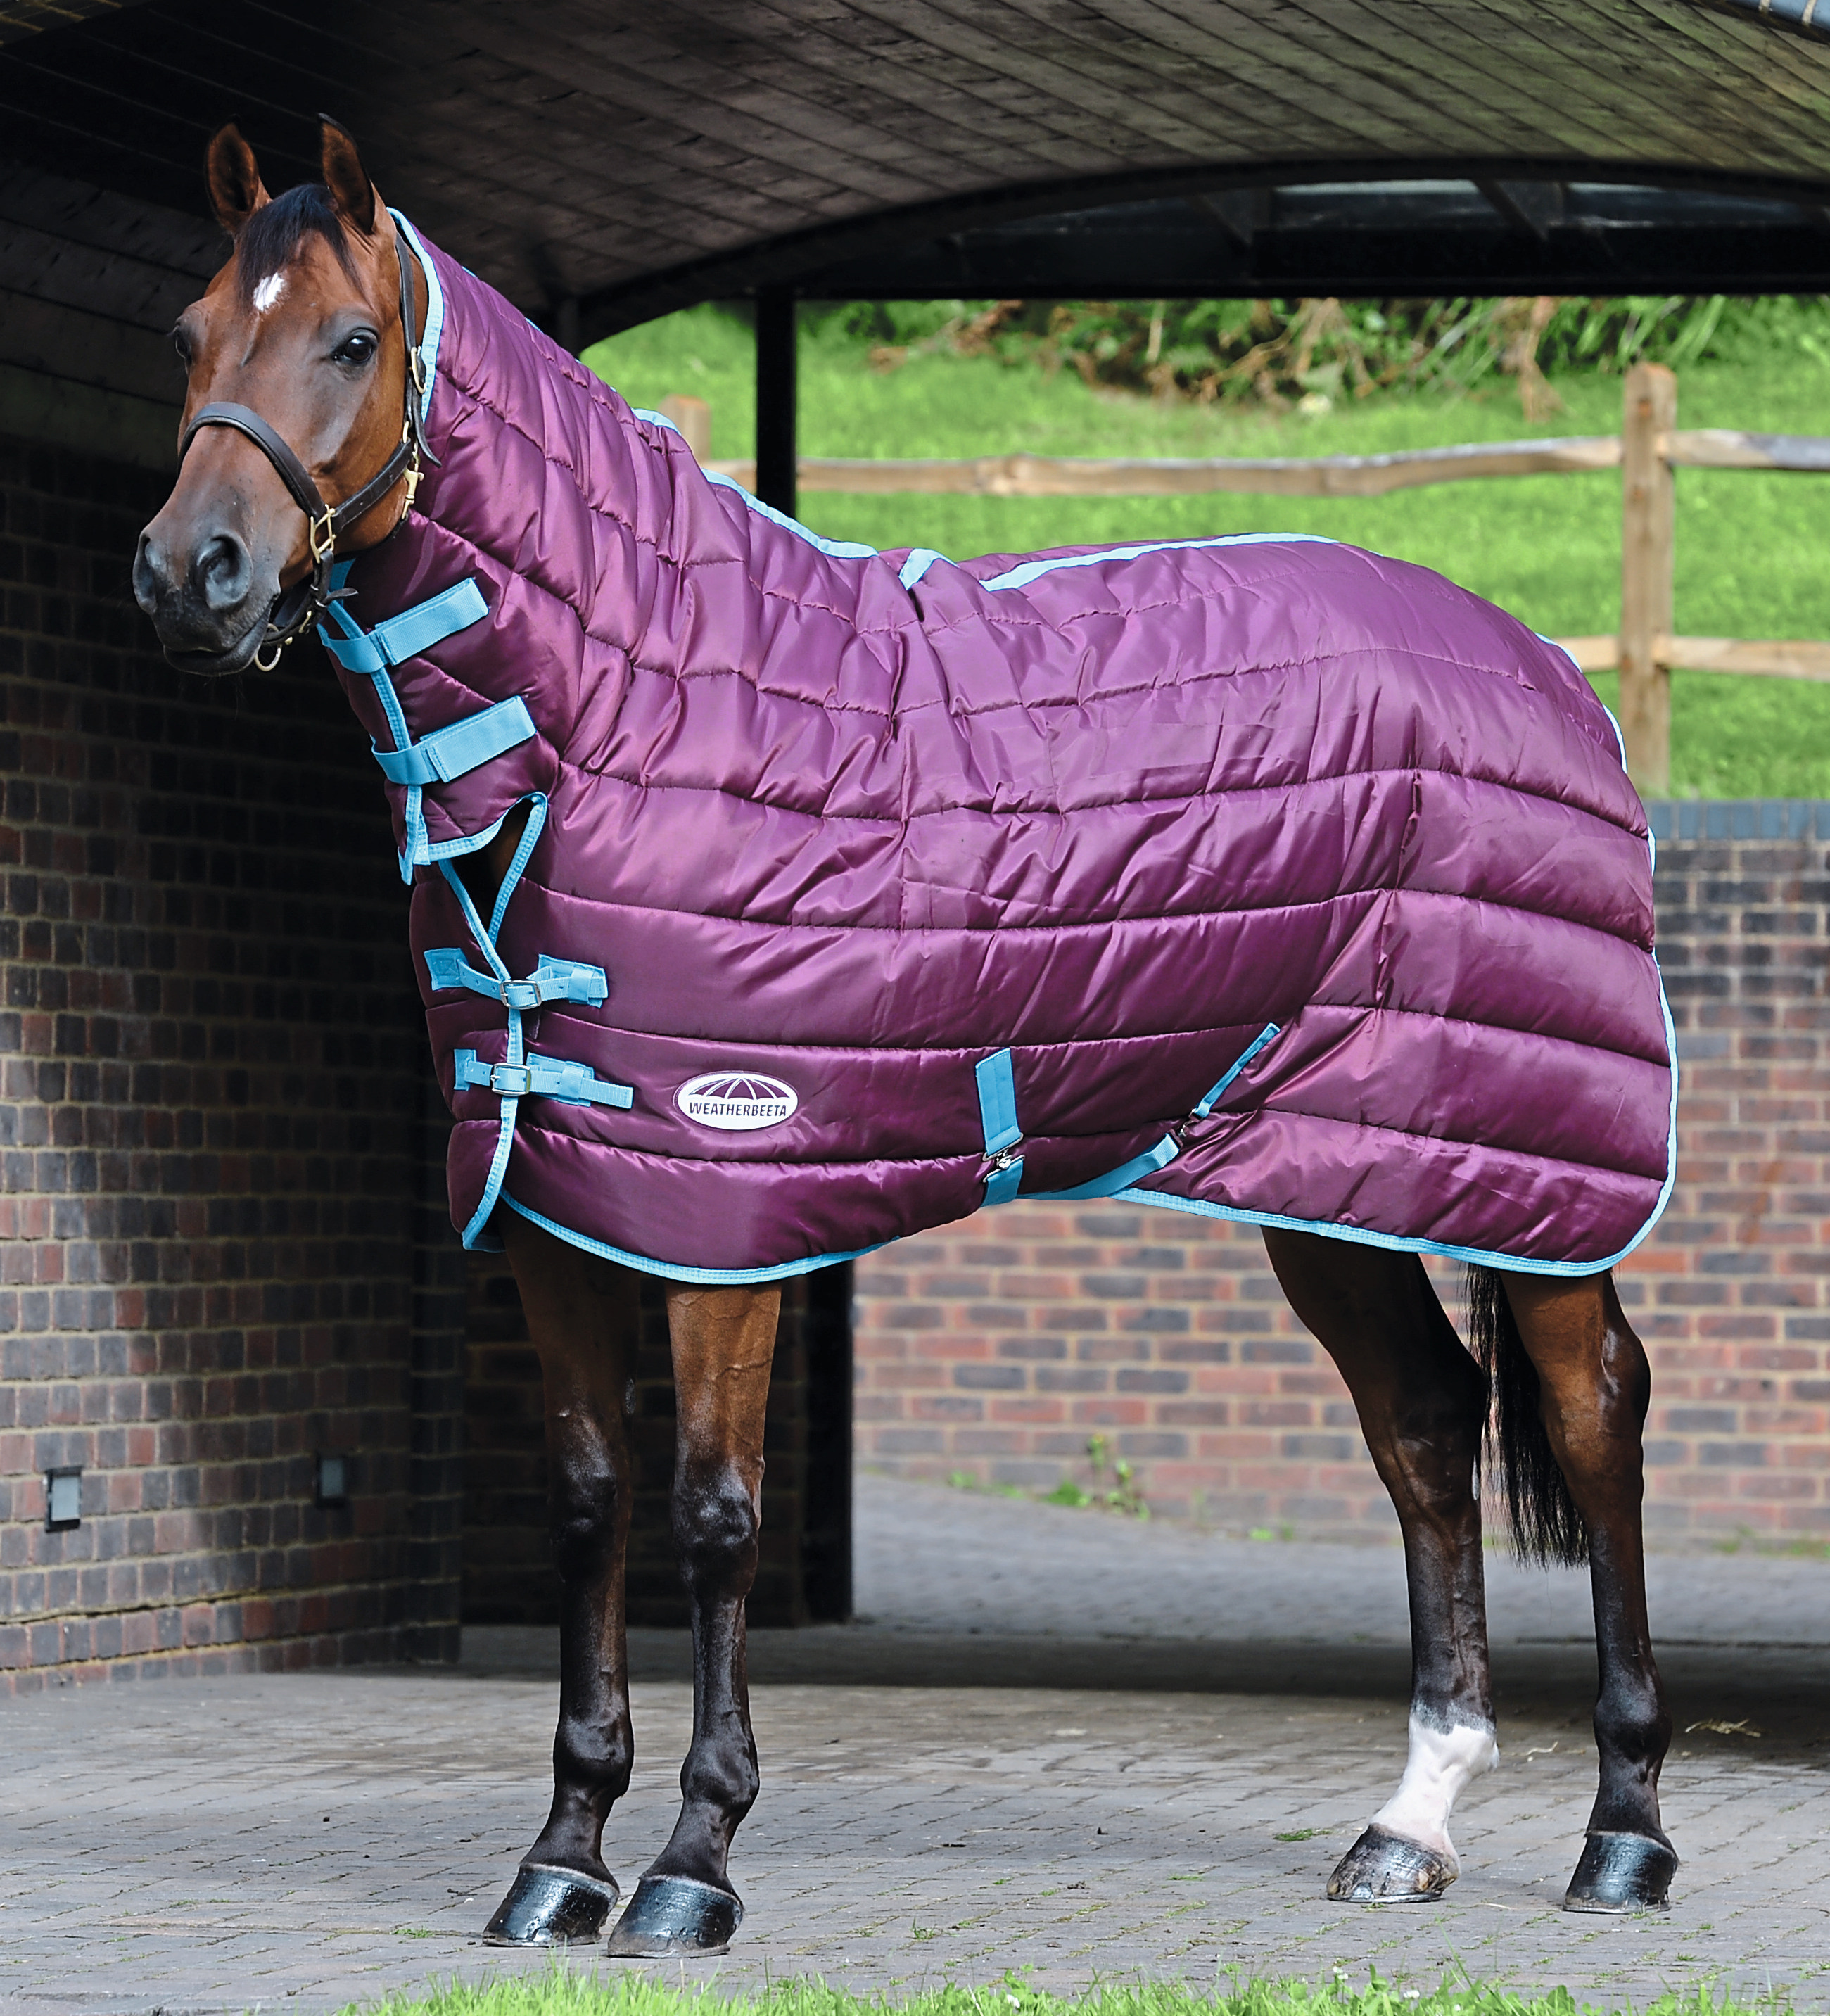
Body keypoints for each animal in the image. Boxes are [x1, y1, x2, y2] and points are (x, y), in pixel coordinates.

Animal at [134, 117, 1680, 1952]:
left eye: (350, 340)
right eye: (191, 334)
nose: (189, 572)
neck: (625, 708)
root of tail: (1551, 672)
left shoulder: (726, 1212)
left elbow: (710, 1517)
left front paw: (689, 1863)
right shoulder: (556, 1209)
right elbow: (587, 1505)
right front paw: (559, 1859)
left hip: (1533, 1174)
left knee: (1589, 1416)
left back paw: (1623, 1831)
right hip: (1336, 1173)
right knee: (1425, 1432)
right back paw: (1409, 1822)